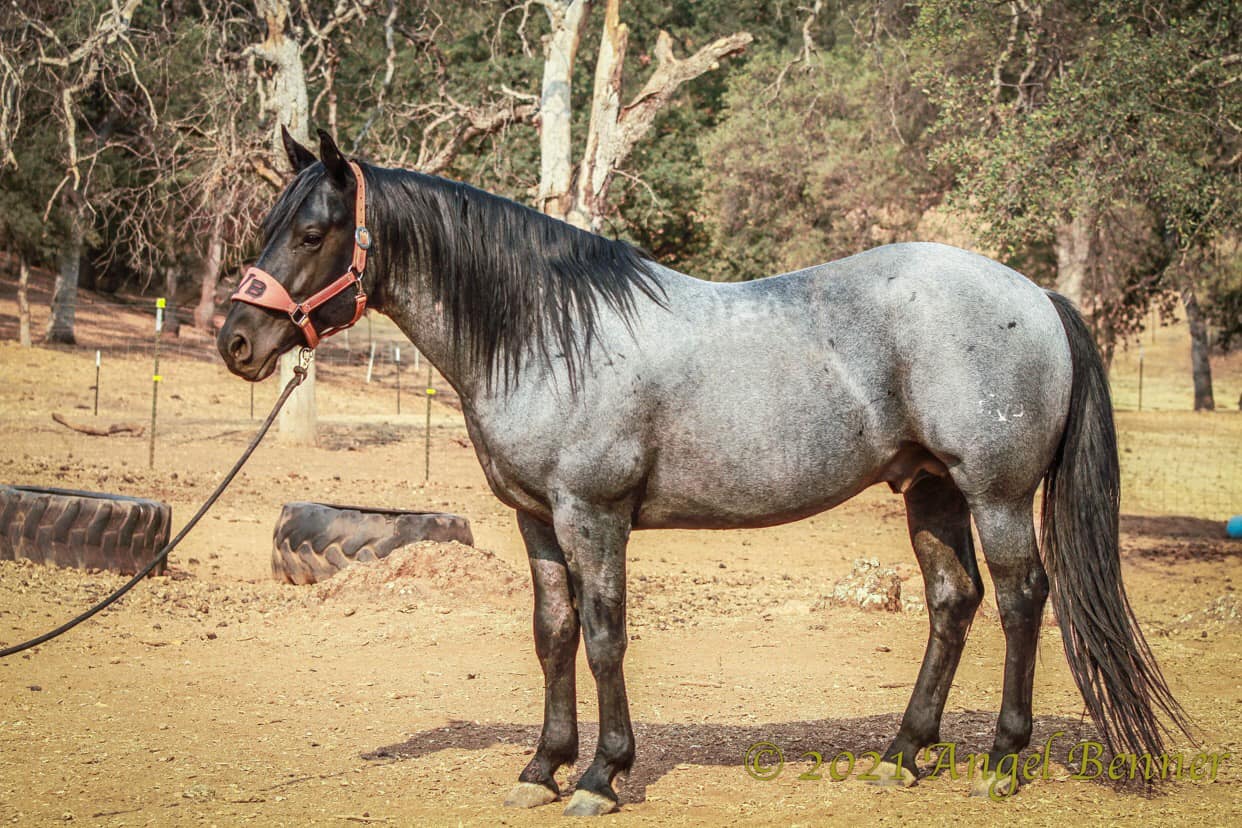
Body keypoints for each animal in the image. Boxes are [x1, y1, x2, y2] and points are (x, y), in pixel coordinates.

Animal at [217, 128, 1189, 815]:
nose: (237, 341)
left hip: (996, 494)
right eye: (267, 226)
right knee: (955, 602)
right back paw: (902, 754)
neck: (551, 333)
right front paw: (541, 767)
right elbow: (553, 635)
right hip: (932, 491)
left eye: (313, 231)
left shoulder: (593, 515)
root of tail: (1037, 295)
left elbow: (604, 637)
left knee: (1025, 601)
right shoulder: (538, 520)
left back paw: (1000, 762)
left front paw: (600, 777)